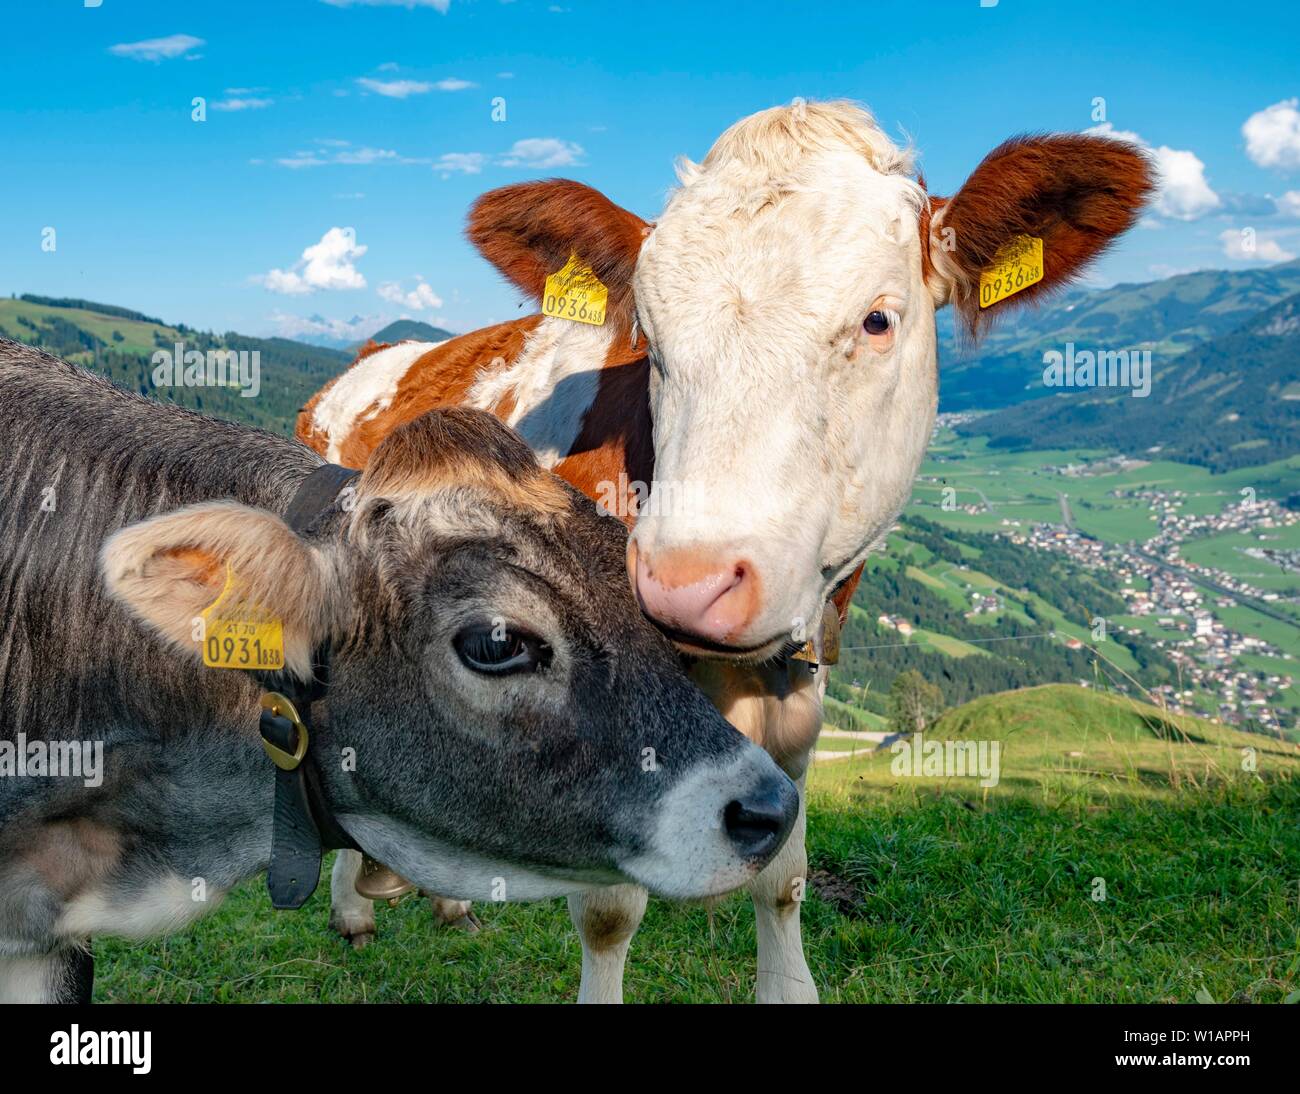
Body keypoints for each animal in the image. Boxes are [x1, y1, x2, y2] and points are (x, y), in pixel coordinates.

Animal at [298, 99, 1153, 1002]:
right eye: (650, 337)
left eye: (877, 319)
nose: (686, 581)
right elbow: (609, 908)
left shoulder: (802, 692)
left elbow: (784, 872)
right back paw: (355, 907)